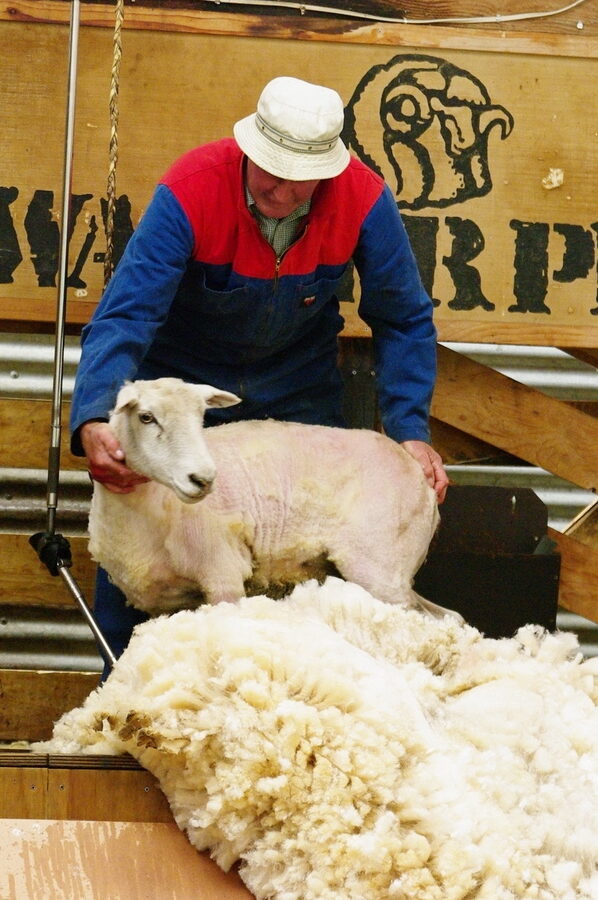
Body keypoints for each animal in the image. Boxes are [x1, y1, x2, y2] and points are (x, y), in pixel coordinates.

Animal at [88, 376, 453, 617]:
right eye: (146, 417)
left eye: (200, 417)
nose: (203, 479)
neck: (153, 512)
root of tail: (420, 475)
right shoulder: (165, 606)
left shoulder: (223, 574)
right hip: (395, 575)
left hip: (381, 566)